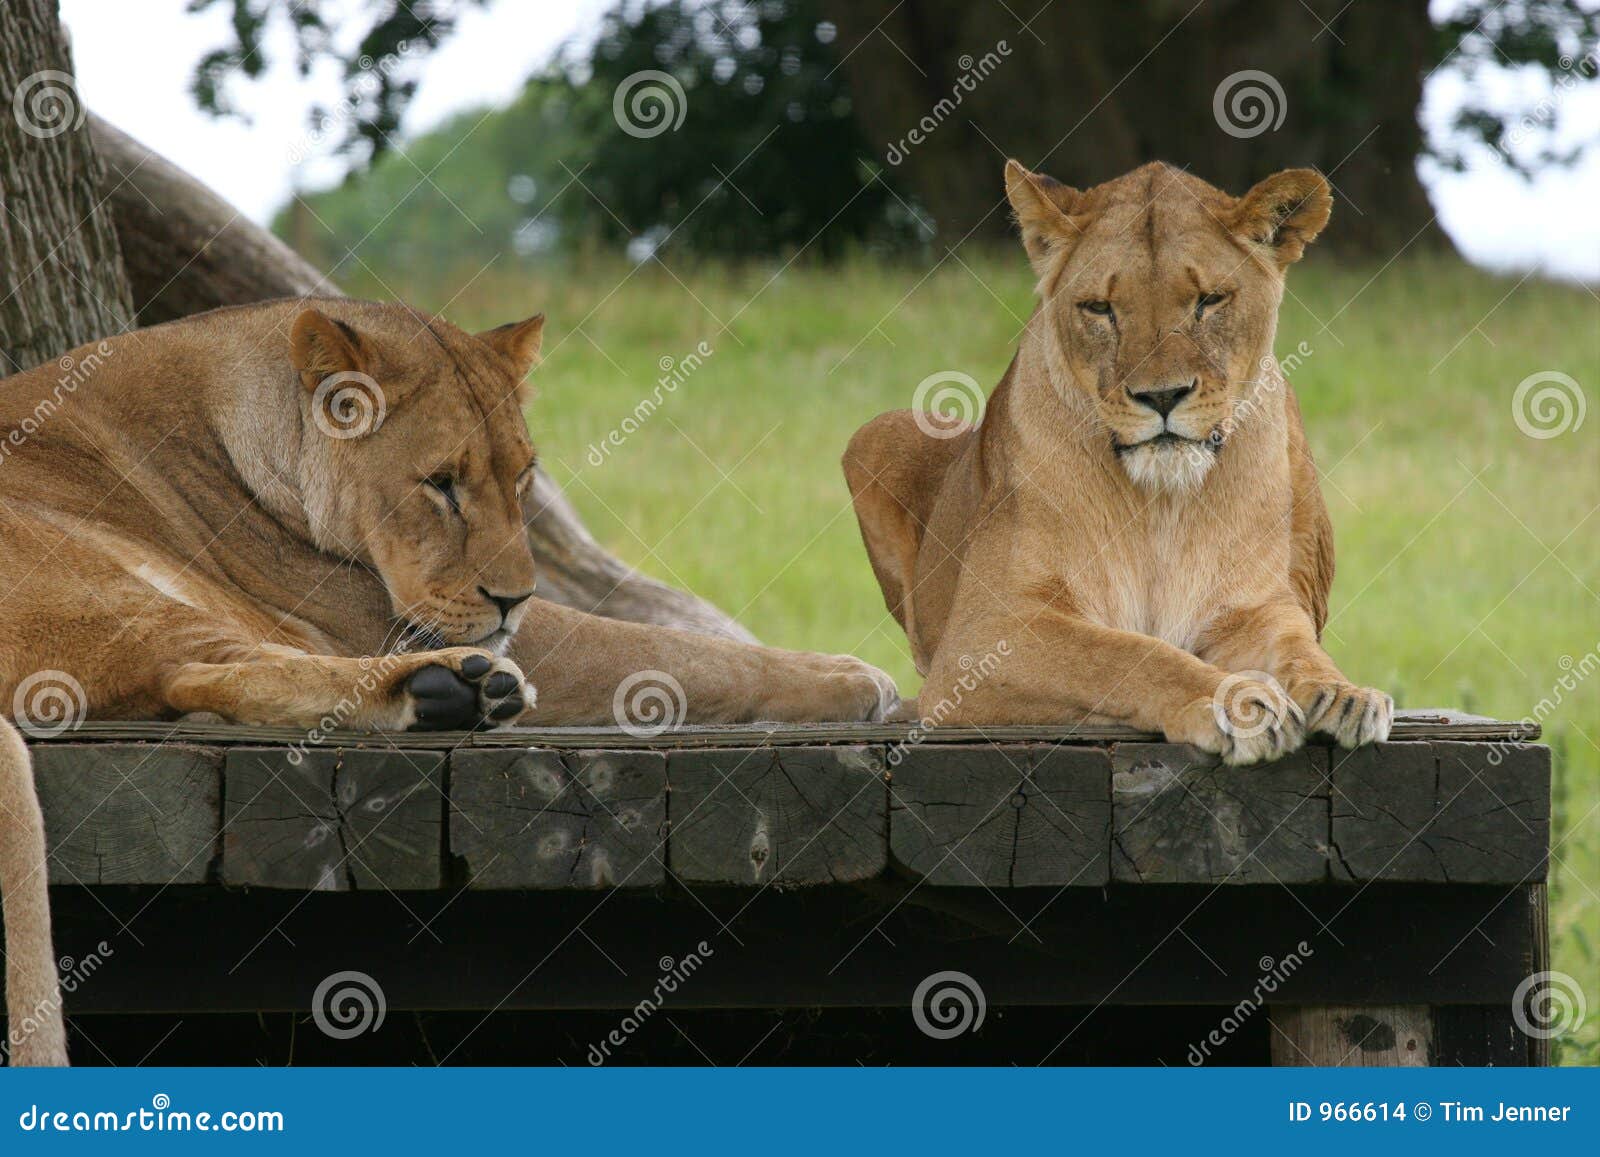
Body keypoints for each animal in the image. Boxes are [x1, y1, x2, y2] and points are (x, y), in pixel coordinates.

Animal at [0, 298, 898, 1065]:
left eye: (523, 476)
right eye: (440, 483)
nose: (515, 596)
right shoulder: (401, 620)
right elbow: (677, 652)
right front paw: (855, 675)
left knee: (199, 680)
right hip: (109, 579)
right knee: (205, 664)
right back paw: (454, 689)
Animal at [844, 160, 1392, 763]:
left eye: (1208, 301)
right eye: (1100, 308)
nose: (1162, 396)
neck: (1159, 501)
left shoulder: (1251, 608)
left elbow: (1296, 645)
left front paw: (1343, 694)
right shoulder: (983, 636)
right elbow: (1126, 655)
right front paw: (1237, 702)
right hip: (880, 432)